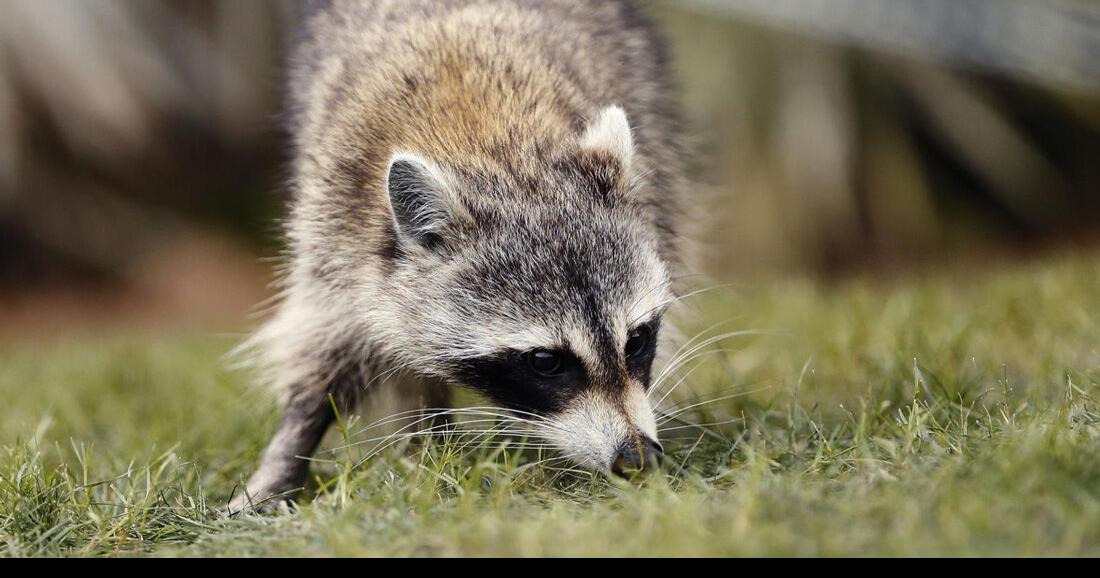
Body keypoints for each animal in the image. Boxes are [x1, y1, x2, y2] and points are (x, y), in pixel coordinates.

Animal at [230, 0, 690, 511]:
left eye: (636, 340)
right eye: (545, 360)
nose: (637, 457)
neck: (491, 145)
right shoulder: (335, 227)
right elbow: (327, 344)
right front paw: (290, 446)